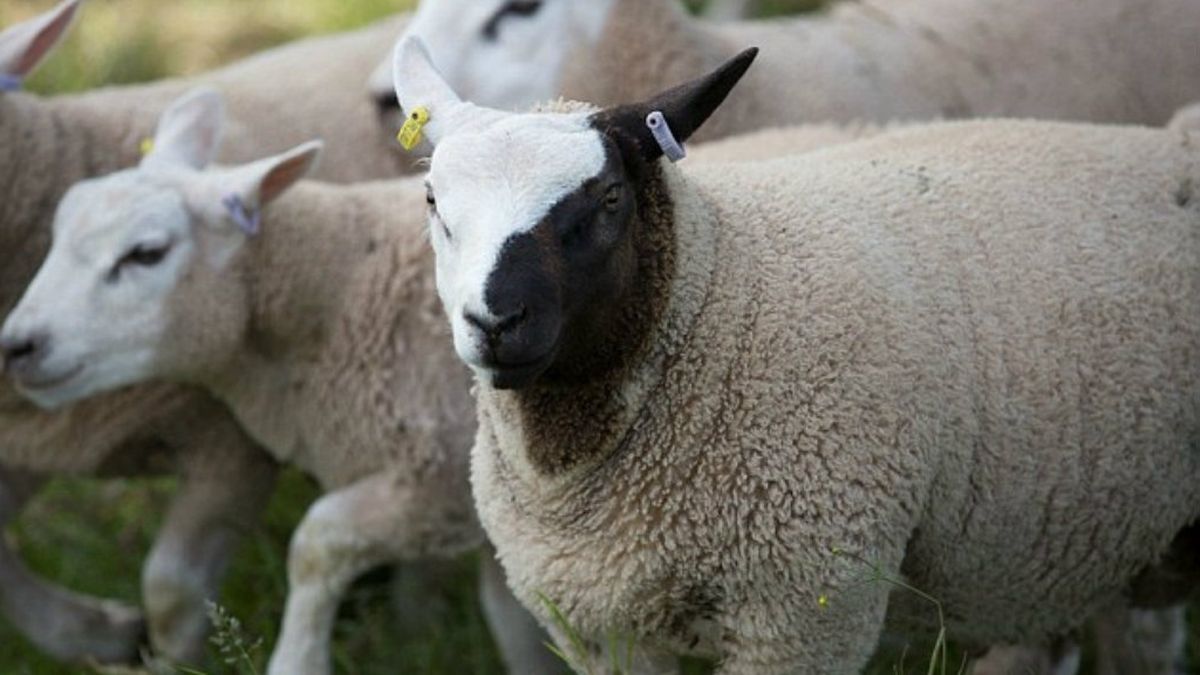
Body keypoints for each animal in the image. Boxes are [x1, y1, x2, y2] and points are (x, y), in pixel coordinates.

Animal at [0, 87, 561, 675]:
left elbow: (316, 544)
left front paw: (296, 659)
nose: (17, 345)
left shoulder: (442, 482)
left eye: (146, 253)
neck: (343, 295)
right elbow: (516, 624)